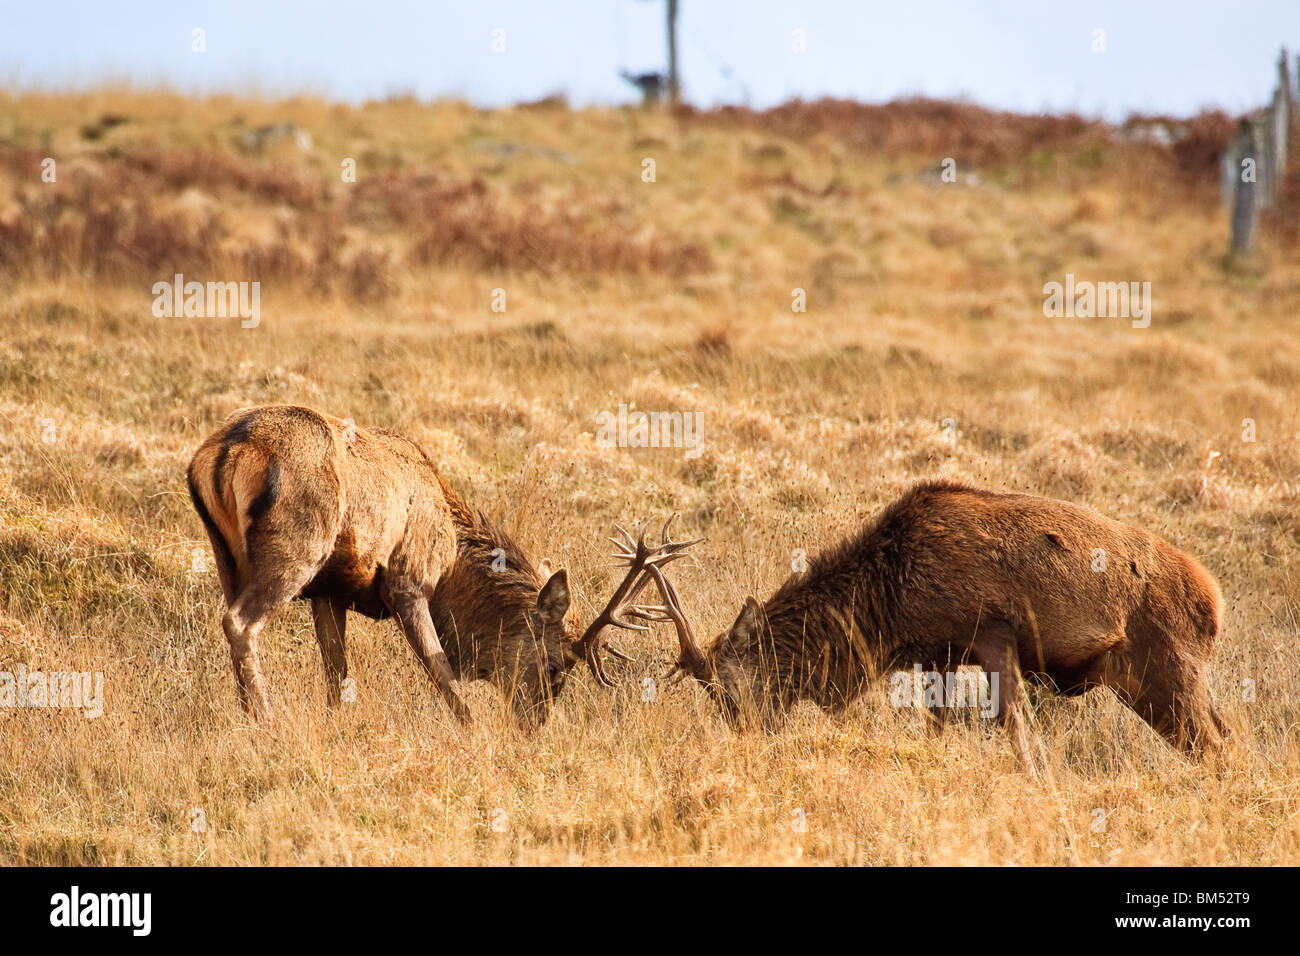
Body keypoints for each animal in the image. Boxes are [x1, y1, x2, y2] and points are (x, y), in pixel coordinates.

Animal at [186, 404, 699, 725]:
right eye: (555, 666)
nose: (533, 725)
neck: (452, 562)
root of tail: (224, 452)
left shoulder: (330, 589)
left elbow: (337, 674)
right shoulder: (408, 582)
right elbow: (442, 673)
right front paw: (475, 731)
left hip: (227, 557)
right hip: (297, 545)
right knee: (240, 622)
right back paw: (264, 720)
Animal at [649, 481, 1228, 776]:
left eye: (727, 689)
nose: (745, 740)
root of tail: (1215, 603)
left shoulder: (994, 632)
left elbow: (1014, 724)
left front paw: (1034, 778)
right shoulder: (939, 653)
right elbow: (938, 723)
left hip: (1168, 671)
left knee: (1216, 747)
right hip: (1158, 685)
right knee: (1227, 735)